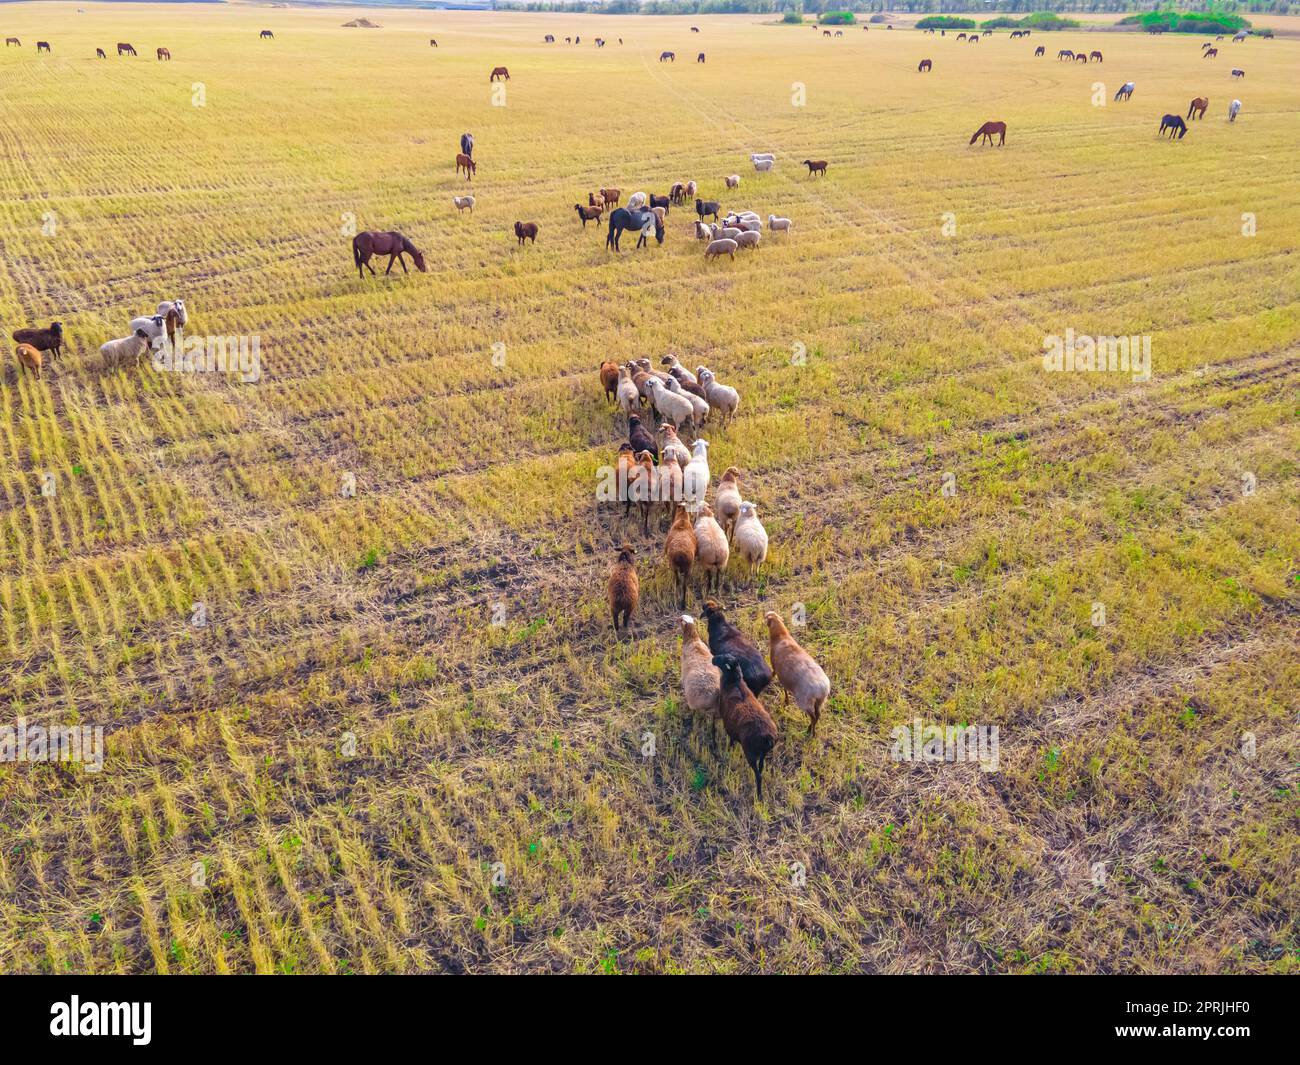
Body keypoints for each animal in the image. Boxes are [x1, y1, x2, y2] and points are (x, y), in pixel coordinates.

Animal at [712, 652, 777, 800]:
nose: (712, 659)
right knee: (762, 767)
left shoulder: (728, 724)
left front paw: (729, 750)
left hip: (751, 753)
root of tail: (768, 738)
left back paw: (759, 796)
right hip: (762, 754)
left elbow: (730, 739)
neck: (734, 682)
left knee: (759, 776)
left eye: (724, 660)